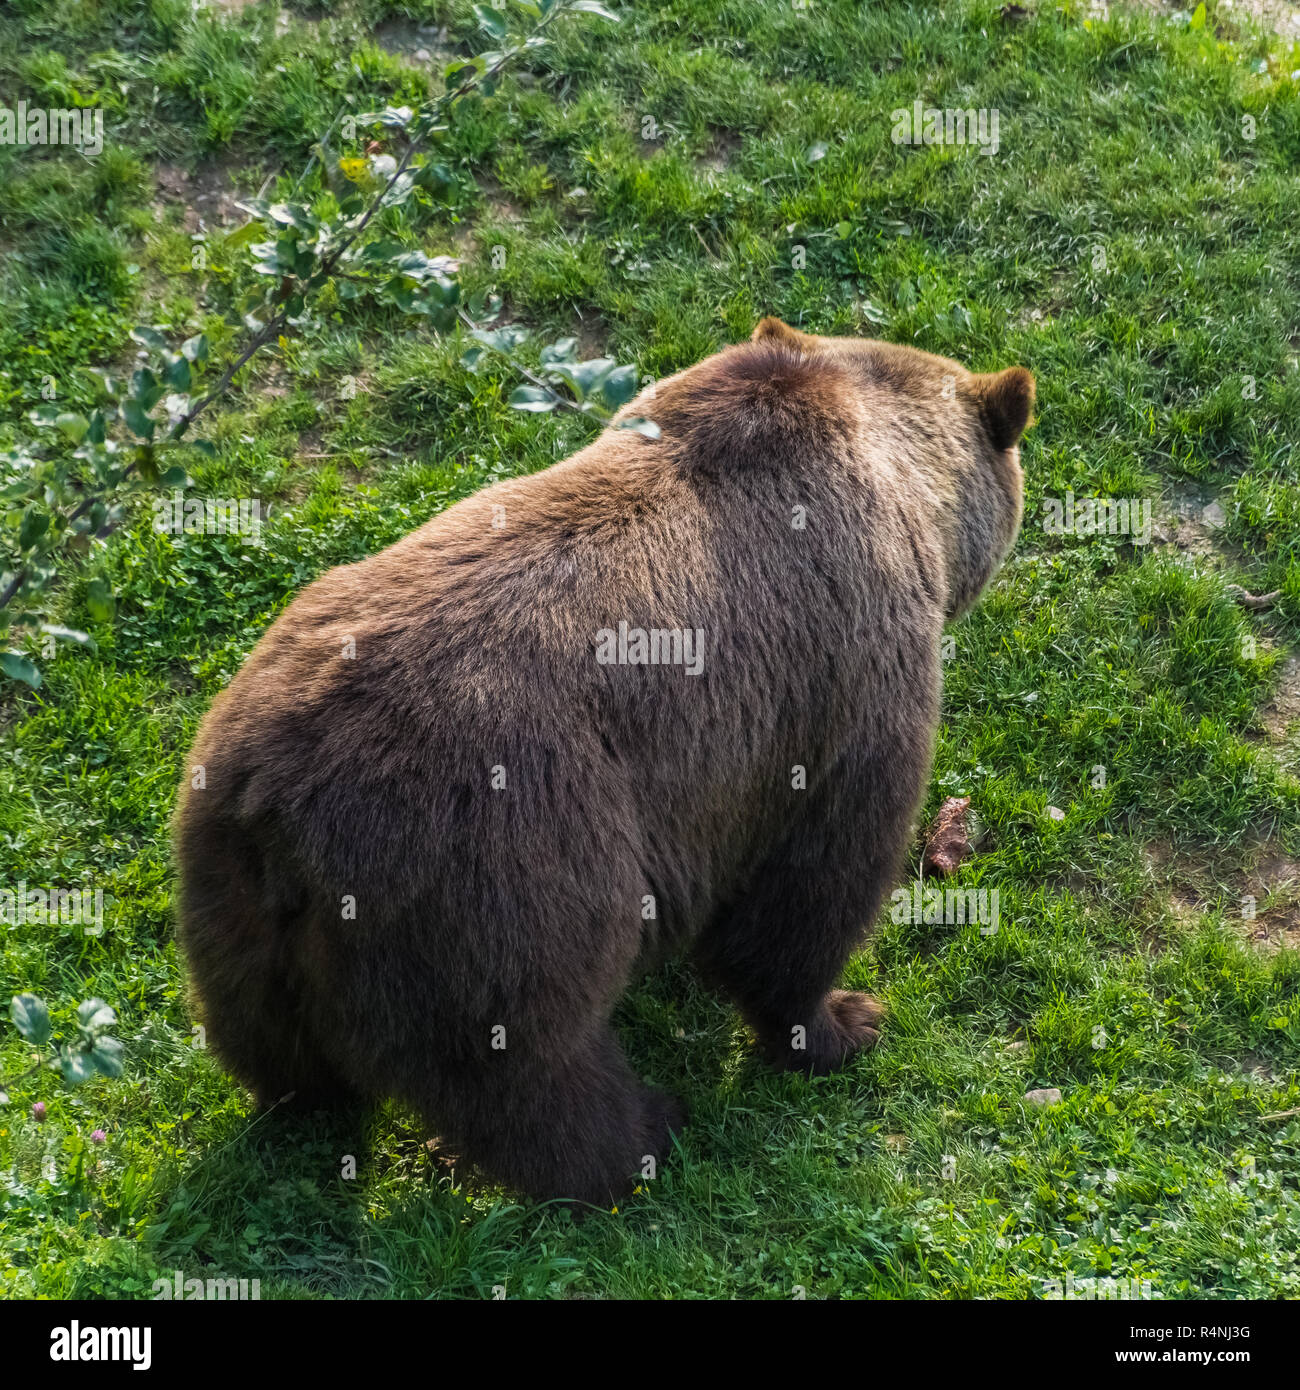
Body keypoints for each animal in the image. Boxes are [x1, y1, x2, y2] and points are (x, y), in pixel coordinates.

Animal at [173, 316, 1031, 1205]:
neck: (904, 493)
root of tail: (285, 813)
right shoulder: (844, 690)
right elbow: (811, 891)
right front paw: (844, 1020)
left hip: (224, 878)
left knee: (267, 1038)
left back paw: (302, 1104)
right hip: (507, 861)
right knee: (525, 1057)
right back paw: (643, 1134)